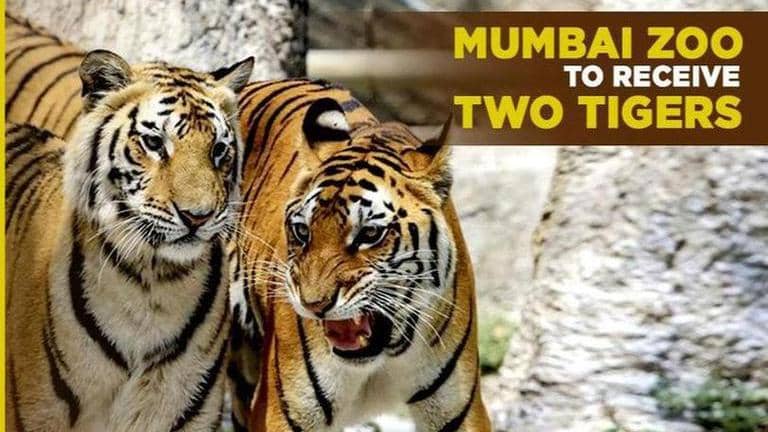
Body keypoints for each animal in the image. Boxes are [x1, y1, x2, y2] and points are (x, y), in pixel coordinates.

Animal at [228, 80, 493, 432]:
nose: (314, 305)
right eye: (302, 231)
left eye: (370, 234)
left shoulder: (459, 410)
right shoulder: (283, 413)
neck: (386, 351)